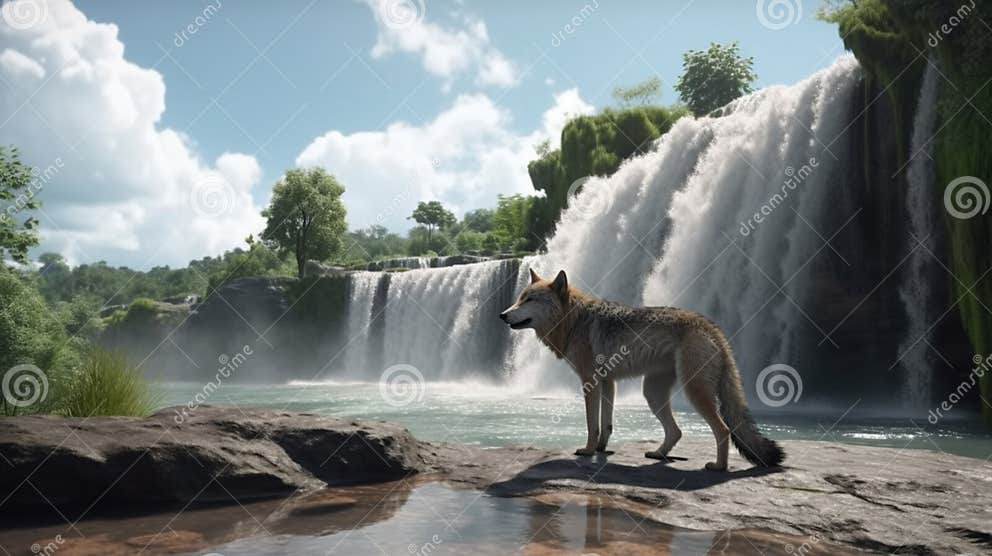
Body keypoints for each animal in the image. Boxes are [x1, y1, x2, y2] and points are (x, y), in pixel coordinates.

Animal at [500, 269, 785, 471]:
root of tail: (710, 326)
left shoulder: (590, 383)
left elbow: (592, 425)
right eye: (519, 299)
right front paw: (601, 450)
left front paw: (588, 450)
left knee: (723, 430)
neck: (575, 320)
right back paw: (659, 454)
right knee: (677, 431)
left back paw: (718, 467)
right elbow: (606, 425)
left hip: (693, 393)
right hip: (653, 394)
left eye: (530, 300)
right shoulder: (608, 383)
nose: (502, 315)